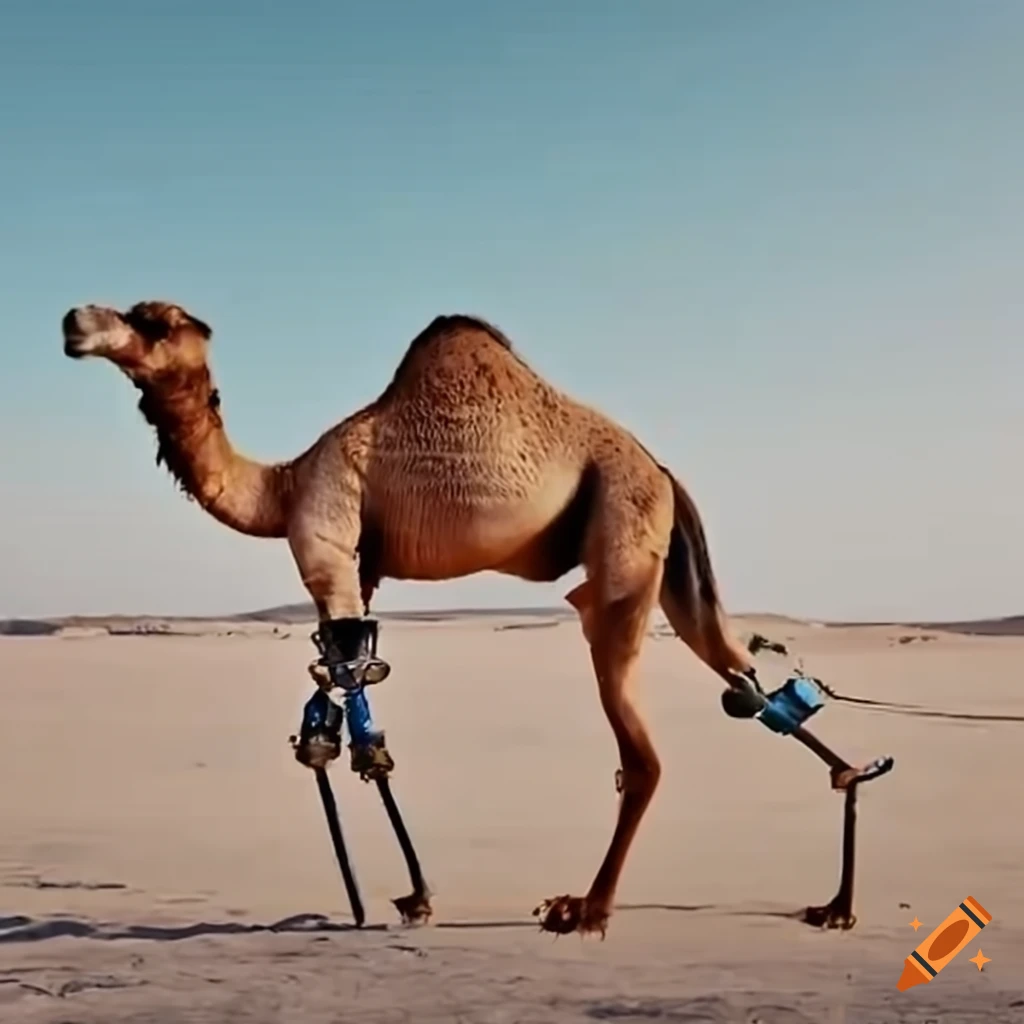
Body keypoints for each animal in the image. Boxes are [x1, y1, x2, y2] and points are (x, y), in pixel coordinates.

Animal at [60, 300, 856, 937]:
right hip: (667, 568)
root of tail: (661, 471)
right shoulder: (360, 570)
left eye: (153, 320)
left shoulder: (324, 539)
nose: (75, 321)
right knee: (747, 683)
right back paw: (839, 871)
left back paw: (585, 910)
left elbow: (360, 714)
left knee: (644, 750)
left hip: (619, 553)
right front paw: (388, 891)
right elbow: (337, 696)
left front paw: (413, 897)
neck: (279, 486)